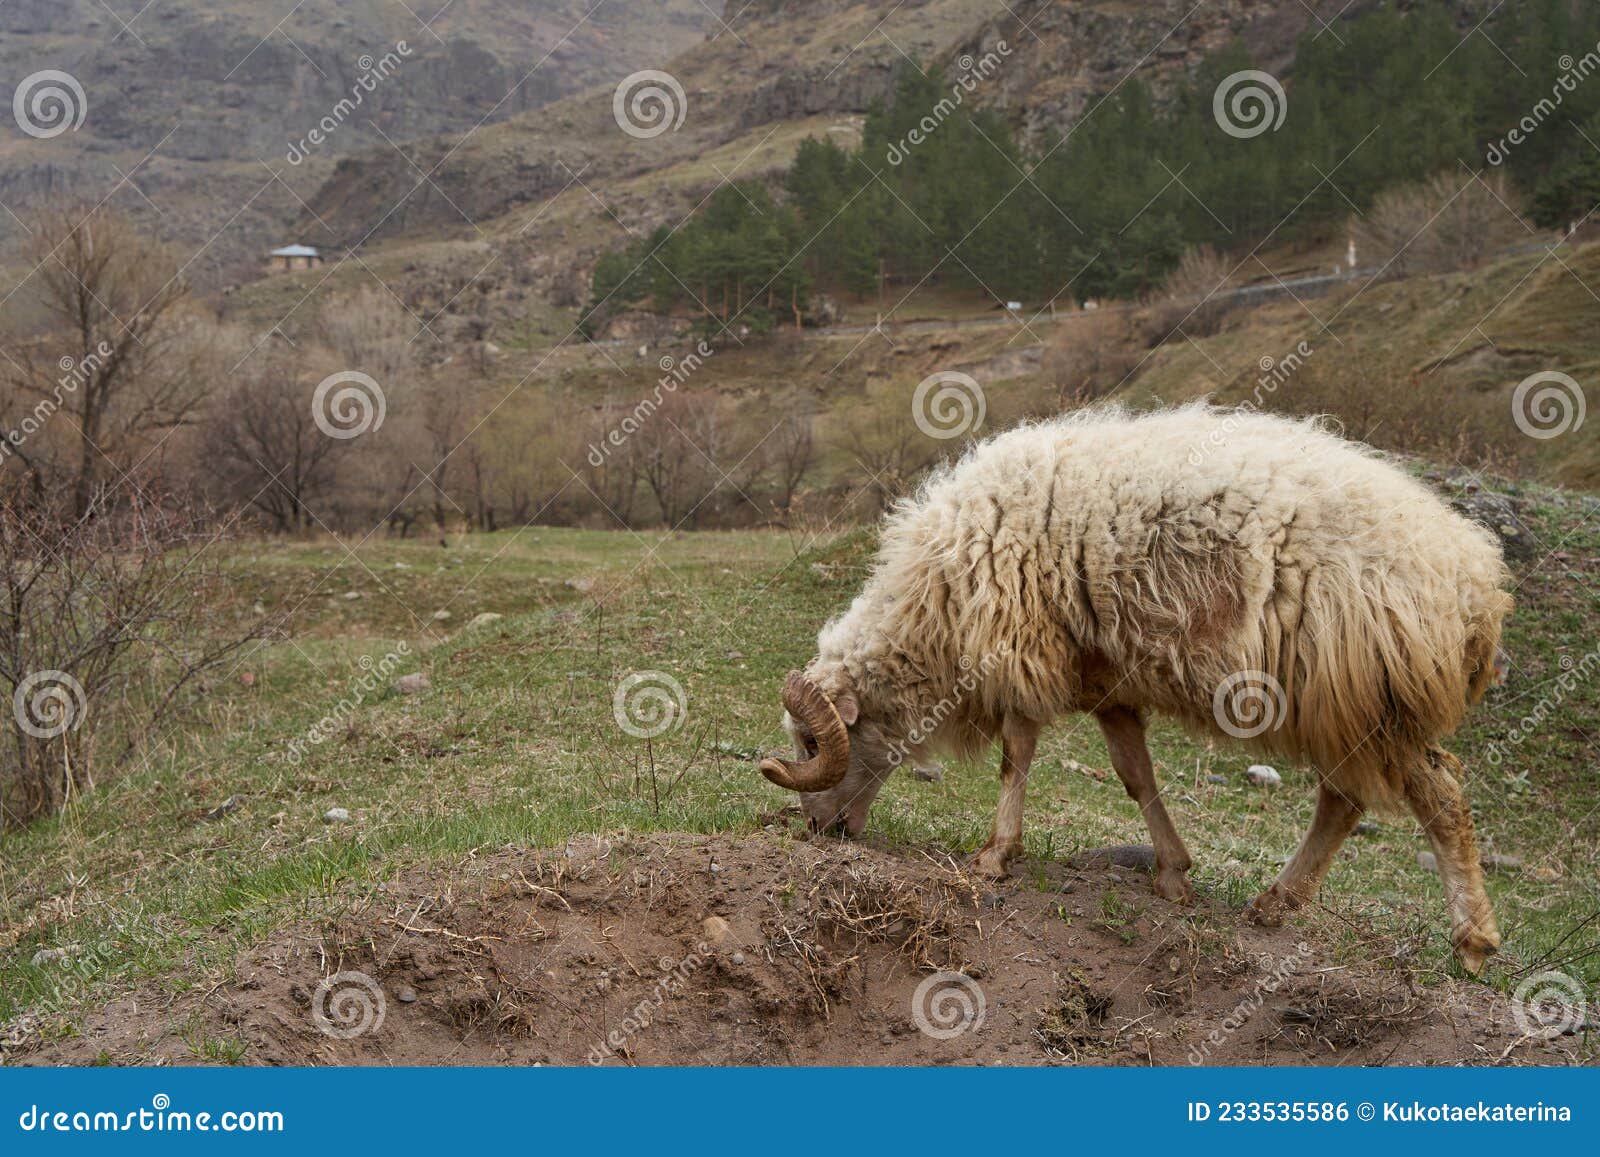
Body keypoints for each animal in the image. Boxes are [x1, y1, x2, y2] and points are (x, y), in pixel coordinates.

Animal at [759, 404, 1512, 974]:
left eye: (812, 743)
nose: (818, 831)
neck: (935, 603)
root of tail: (1476, 580)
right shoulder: (1104, 675)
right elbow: (1133, 773)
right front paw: (1173, 872)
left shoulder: (1022, 647)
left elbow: (1016, 755)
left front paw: (996, 855)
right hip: (1345, 708)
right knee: (1343, 802)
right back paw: (1278, 902)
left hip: (1371, 697)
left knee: (1440, 796)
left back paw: (1472, 942)